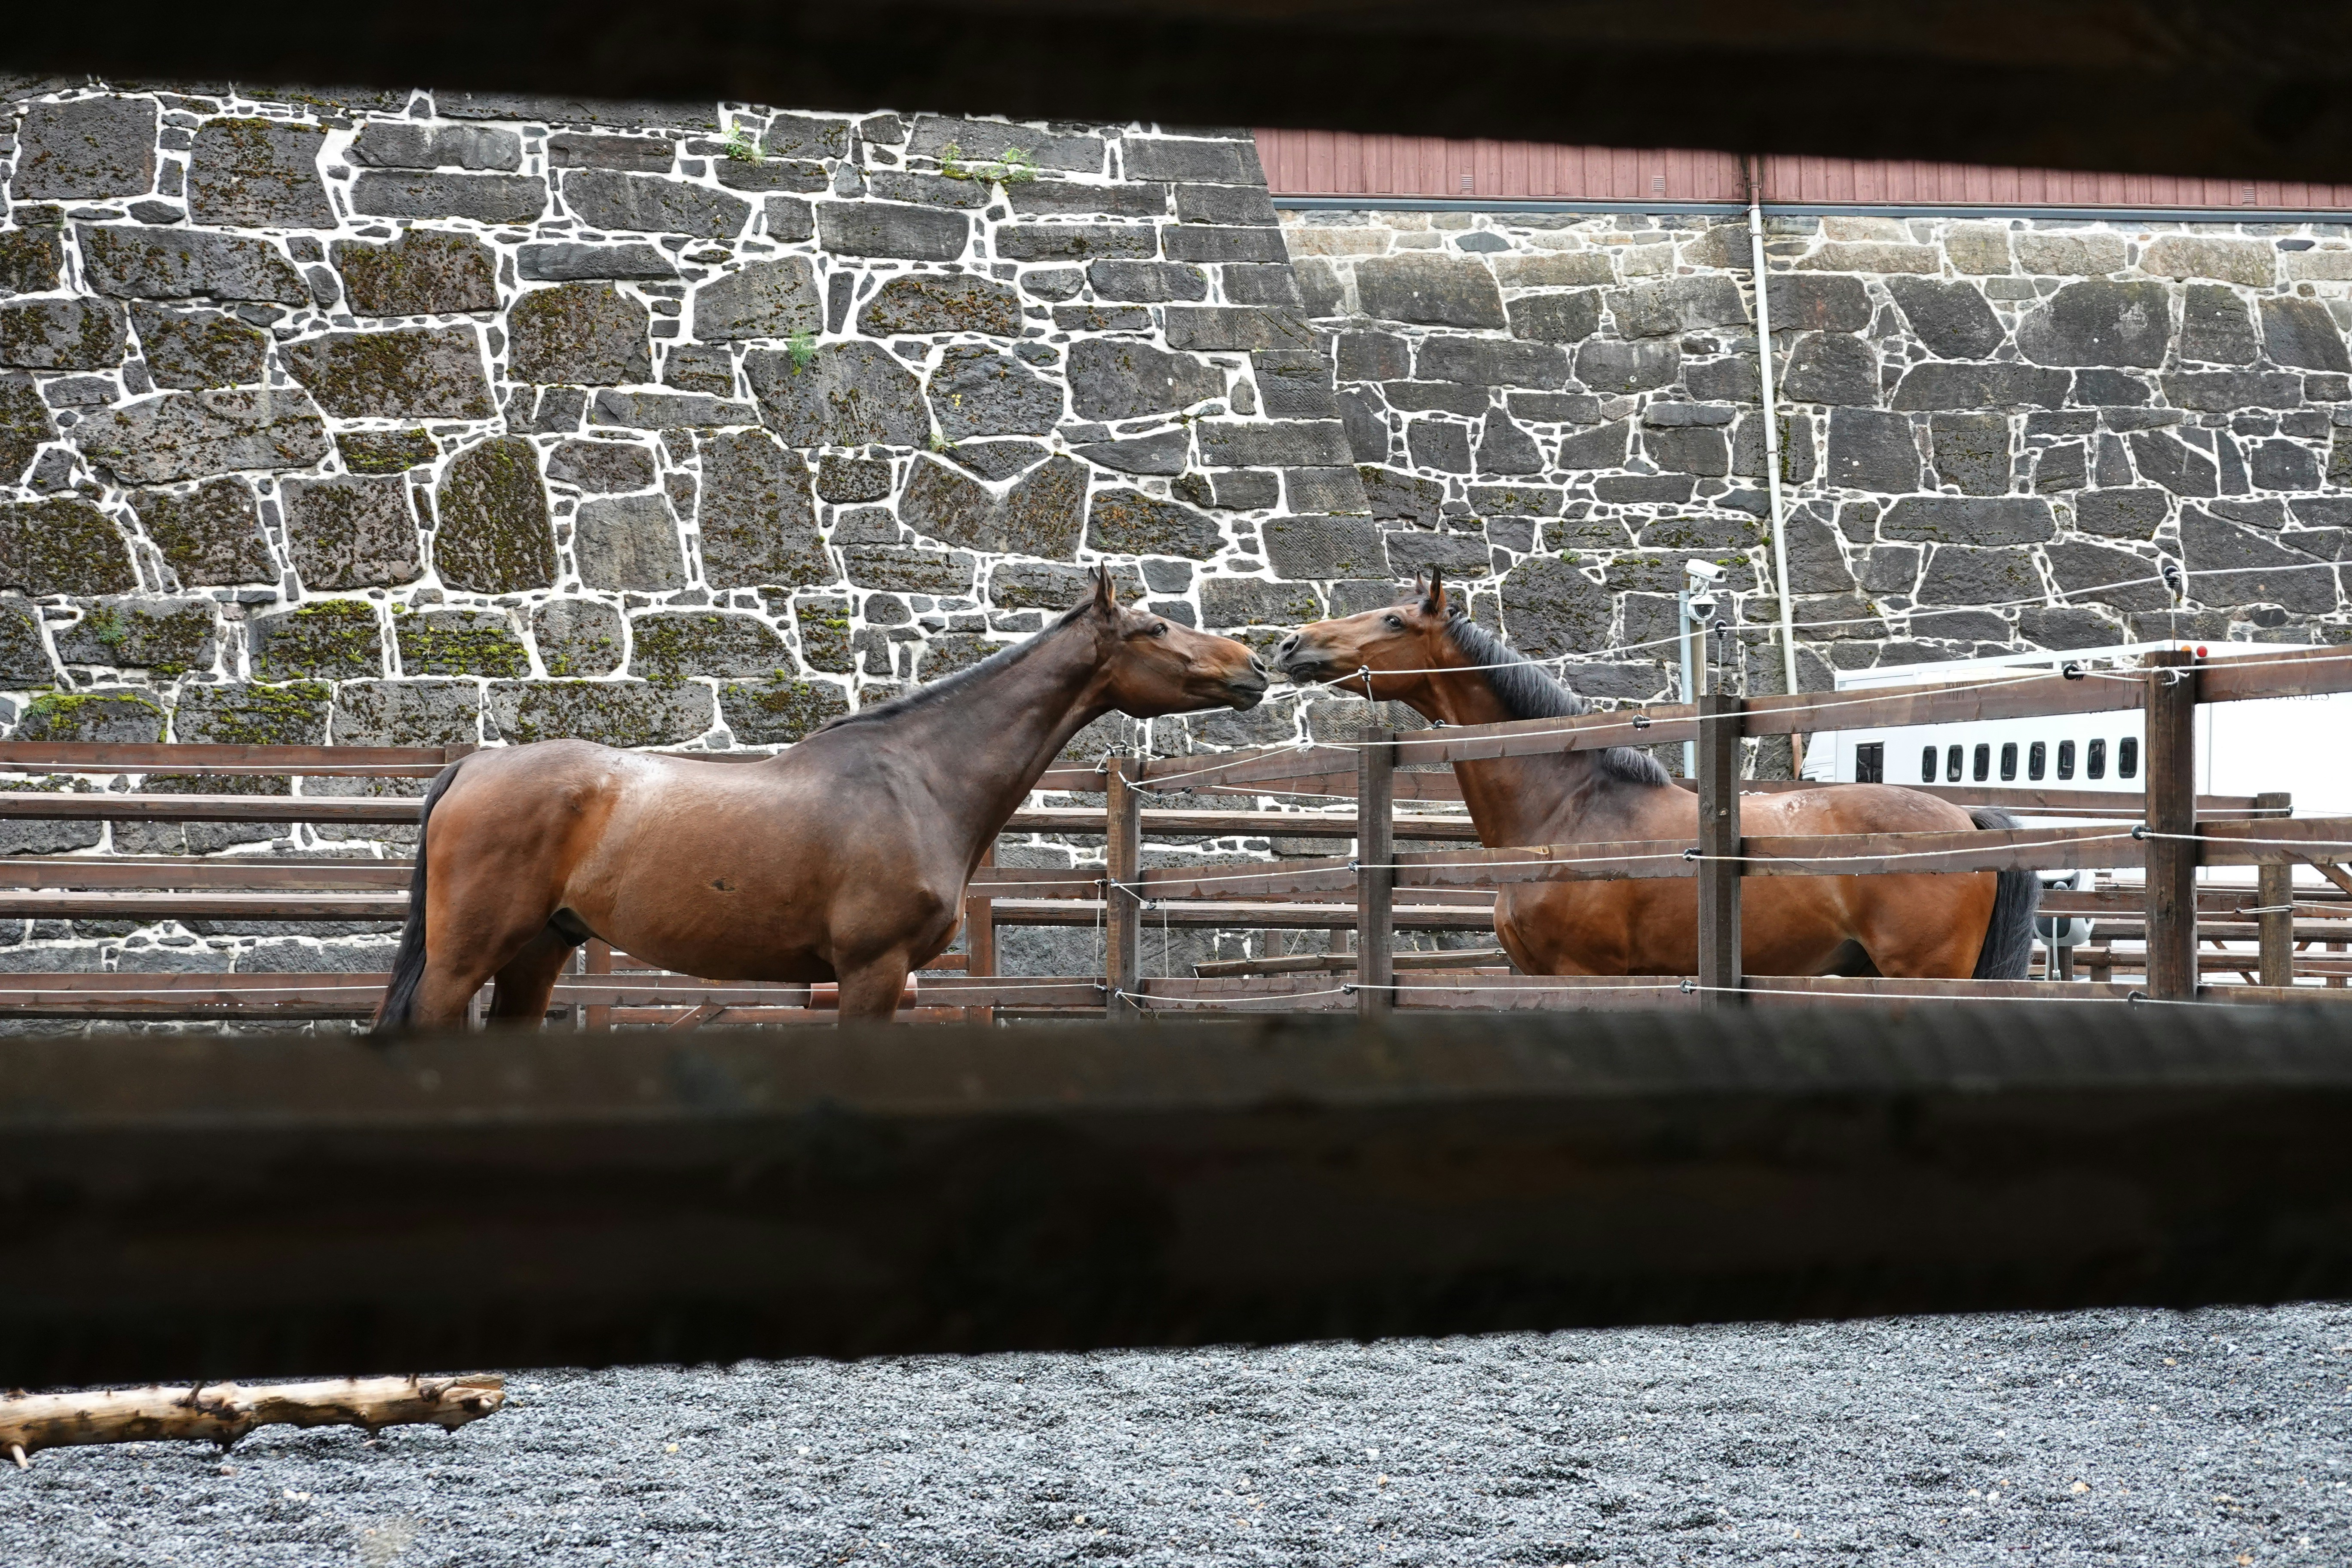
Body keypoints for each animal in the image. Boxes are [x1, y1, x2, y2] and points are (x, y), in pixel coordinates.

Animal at [374, 567, 1268, 1030]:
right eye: (1154, 629)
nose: (1255, 665)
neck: (919, 777)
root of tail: (471, 767)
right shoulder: (872, 970)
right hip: (464, 960)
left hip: (539, 950)